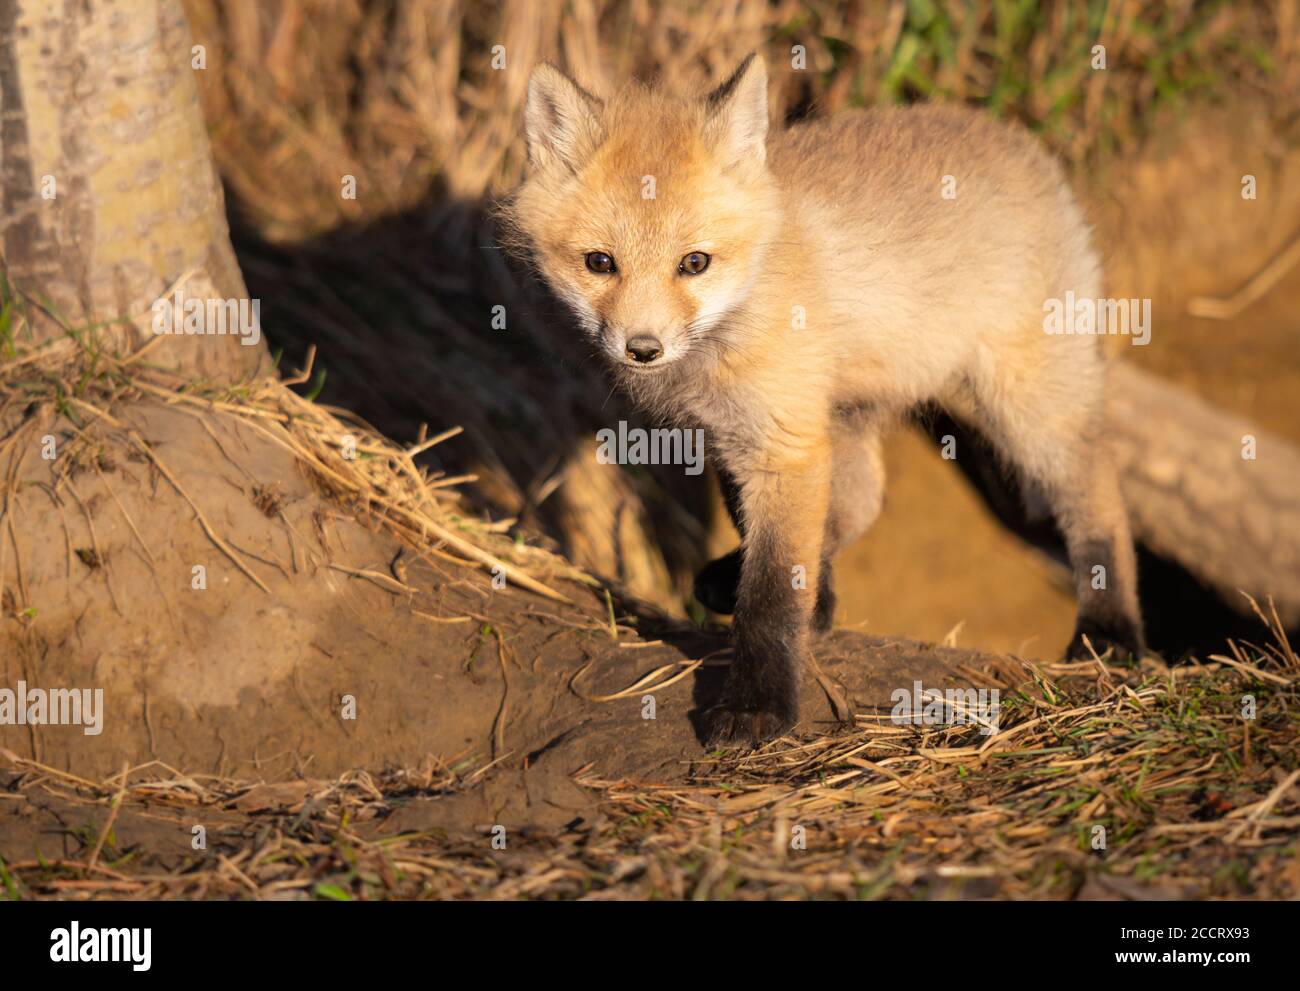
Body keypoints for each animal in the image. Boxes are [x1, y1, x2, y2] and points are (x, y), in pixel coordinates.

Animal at [506, 53, 1145, 746]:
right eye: (600, 263)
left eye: (694, 264)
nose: (642, 349)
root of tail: (1017, 140)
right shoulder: (743, 435)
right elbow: (775, 543)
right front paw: (808, 608)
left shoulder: (782, 440)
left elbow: (771, 594)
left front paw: (757, 704)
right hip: (852, 413)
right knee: (862, 503)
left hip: (1027, 404)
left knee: (1098, 493)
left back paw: (1111, 631)